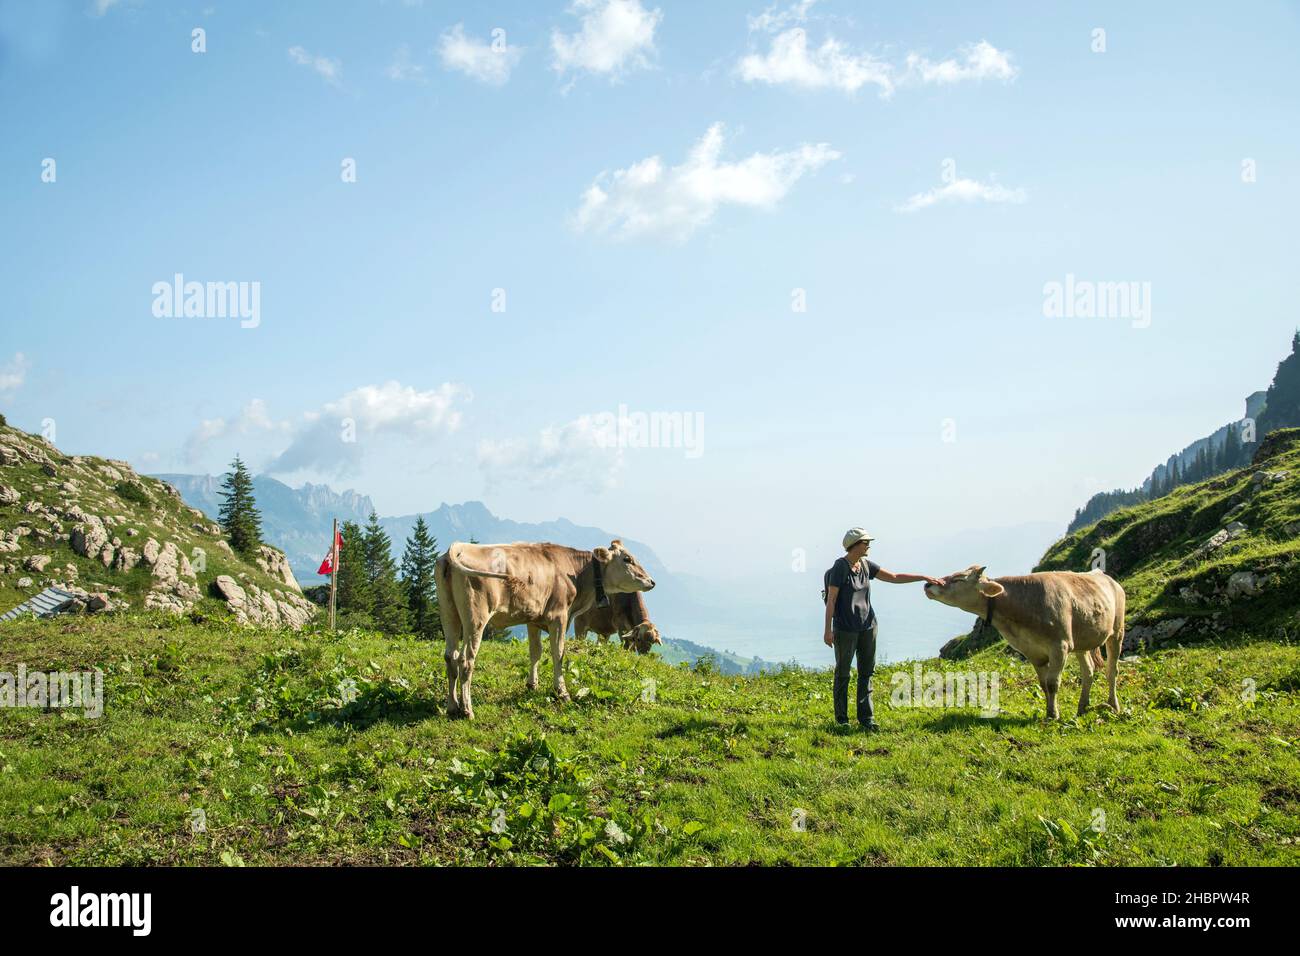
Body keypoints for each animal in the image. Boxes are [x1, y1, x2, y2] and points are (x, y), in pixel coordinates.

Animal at [436, 539, 655, 718]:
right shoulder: (559, 617)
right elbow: (558, 653)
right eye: (627, 559)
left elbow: (535, 652)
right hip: (476, 618)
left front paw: (532, 685)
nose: (651, 581)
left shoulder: (533, 619)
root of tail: (458, 548)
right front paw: (562, 692)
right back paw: (467, 709)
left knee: (450, 656)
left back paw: (452, 706)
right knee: (466, 660)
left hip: (449, 613)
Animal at [923, 566, 1125, 719]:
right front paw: (1049, 712)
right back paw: (1082, 707)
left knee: (1111, 671)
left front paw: (1054, 715)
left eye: (959, 579)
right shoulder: (1032, 652)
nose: (927, 584)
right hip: (1082, 641)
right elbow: (1043, 684)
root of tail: (1105, 576)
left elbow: (1053, 683)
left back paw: (1114, 706)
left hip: (1117, 631)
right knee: (1088, 671)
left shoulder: (1060, 645)